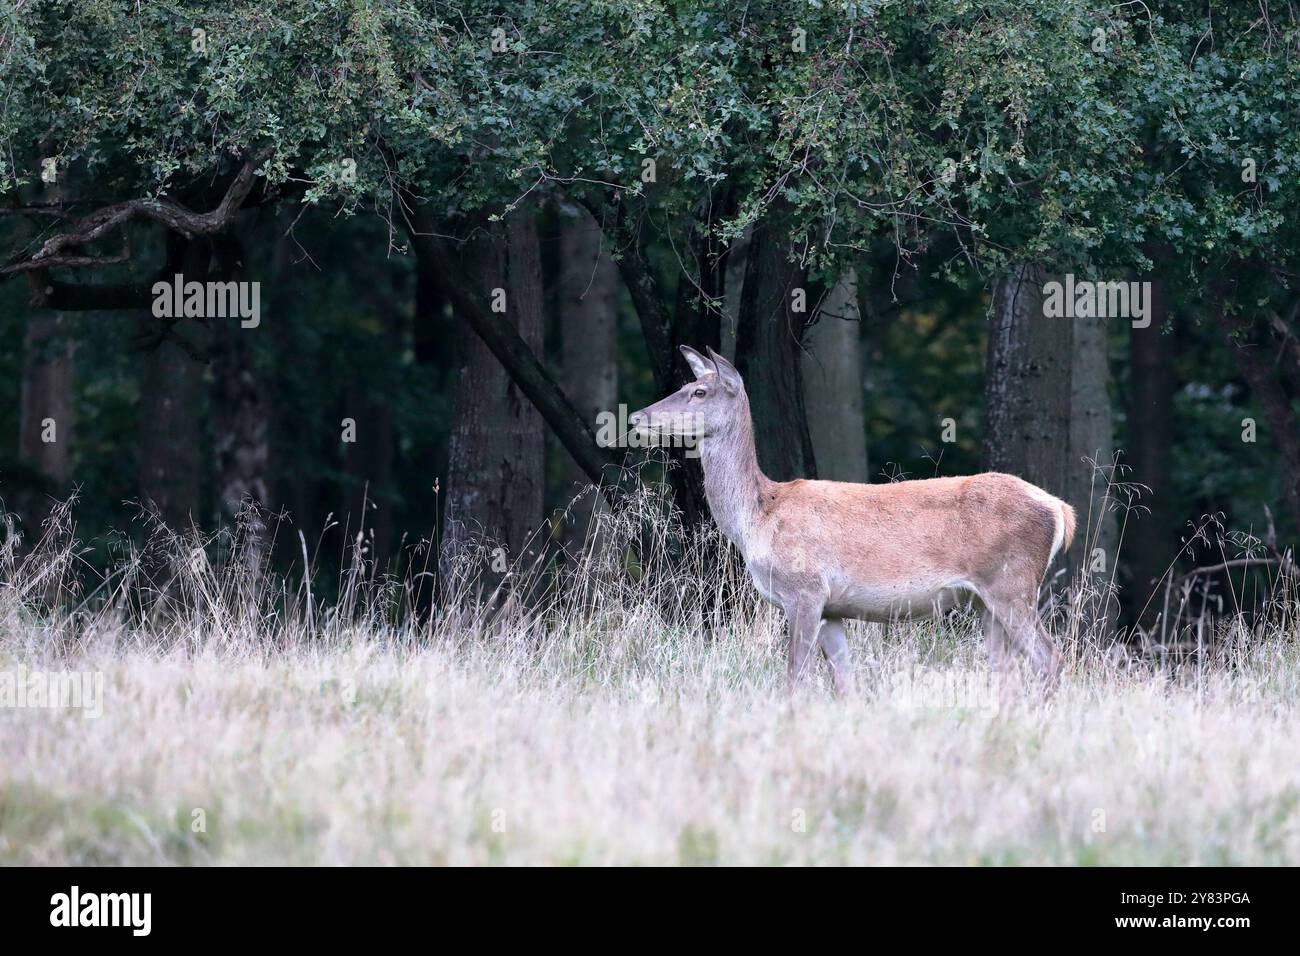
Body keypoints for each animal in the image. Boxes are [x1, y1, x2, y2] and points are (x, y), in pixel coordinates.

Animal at [628, 345, 1075, 696]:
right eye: (683, 386)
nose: (635, 417)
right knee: (1008, 671)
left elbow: (795, 678)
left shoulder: (805, 590)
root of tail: (1060, 510)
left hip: (1011, 583)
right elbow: (845, 683)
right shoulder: (832, 608)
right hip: (987, 599)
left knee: (1050, 657)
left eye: (698, 391)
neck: (756, 520)